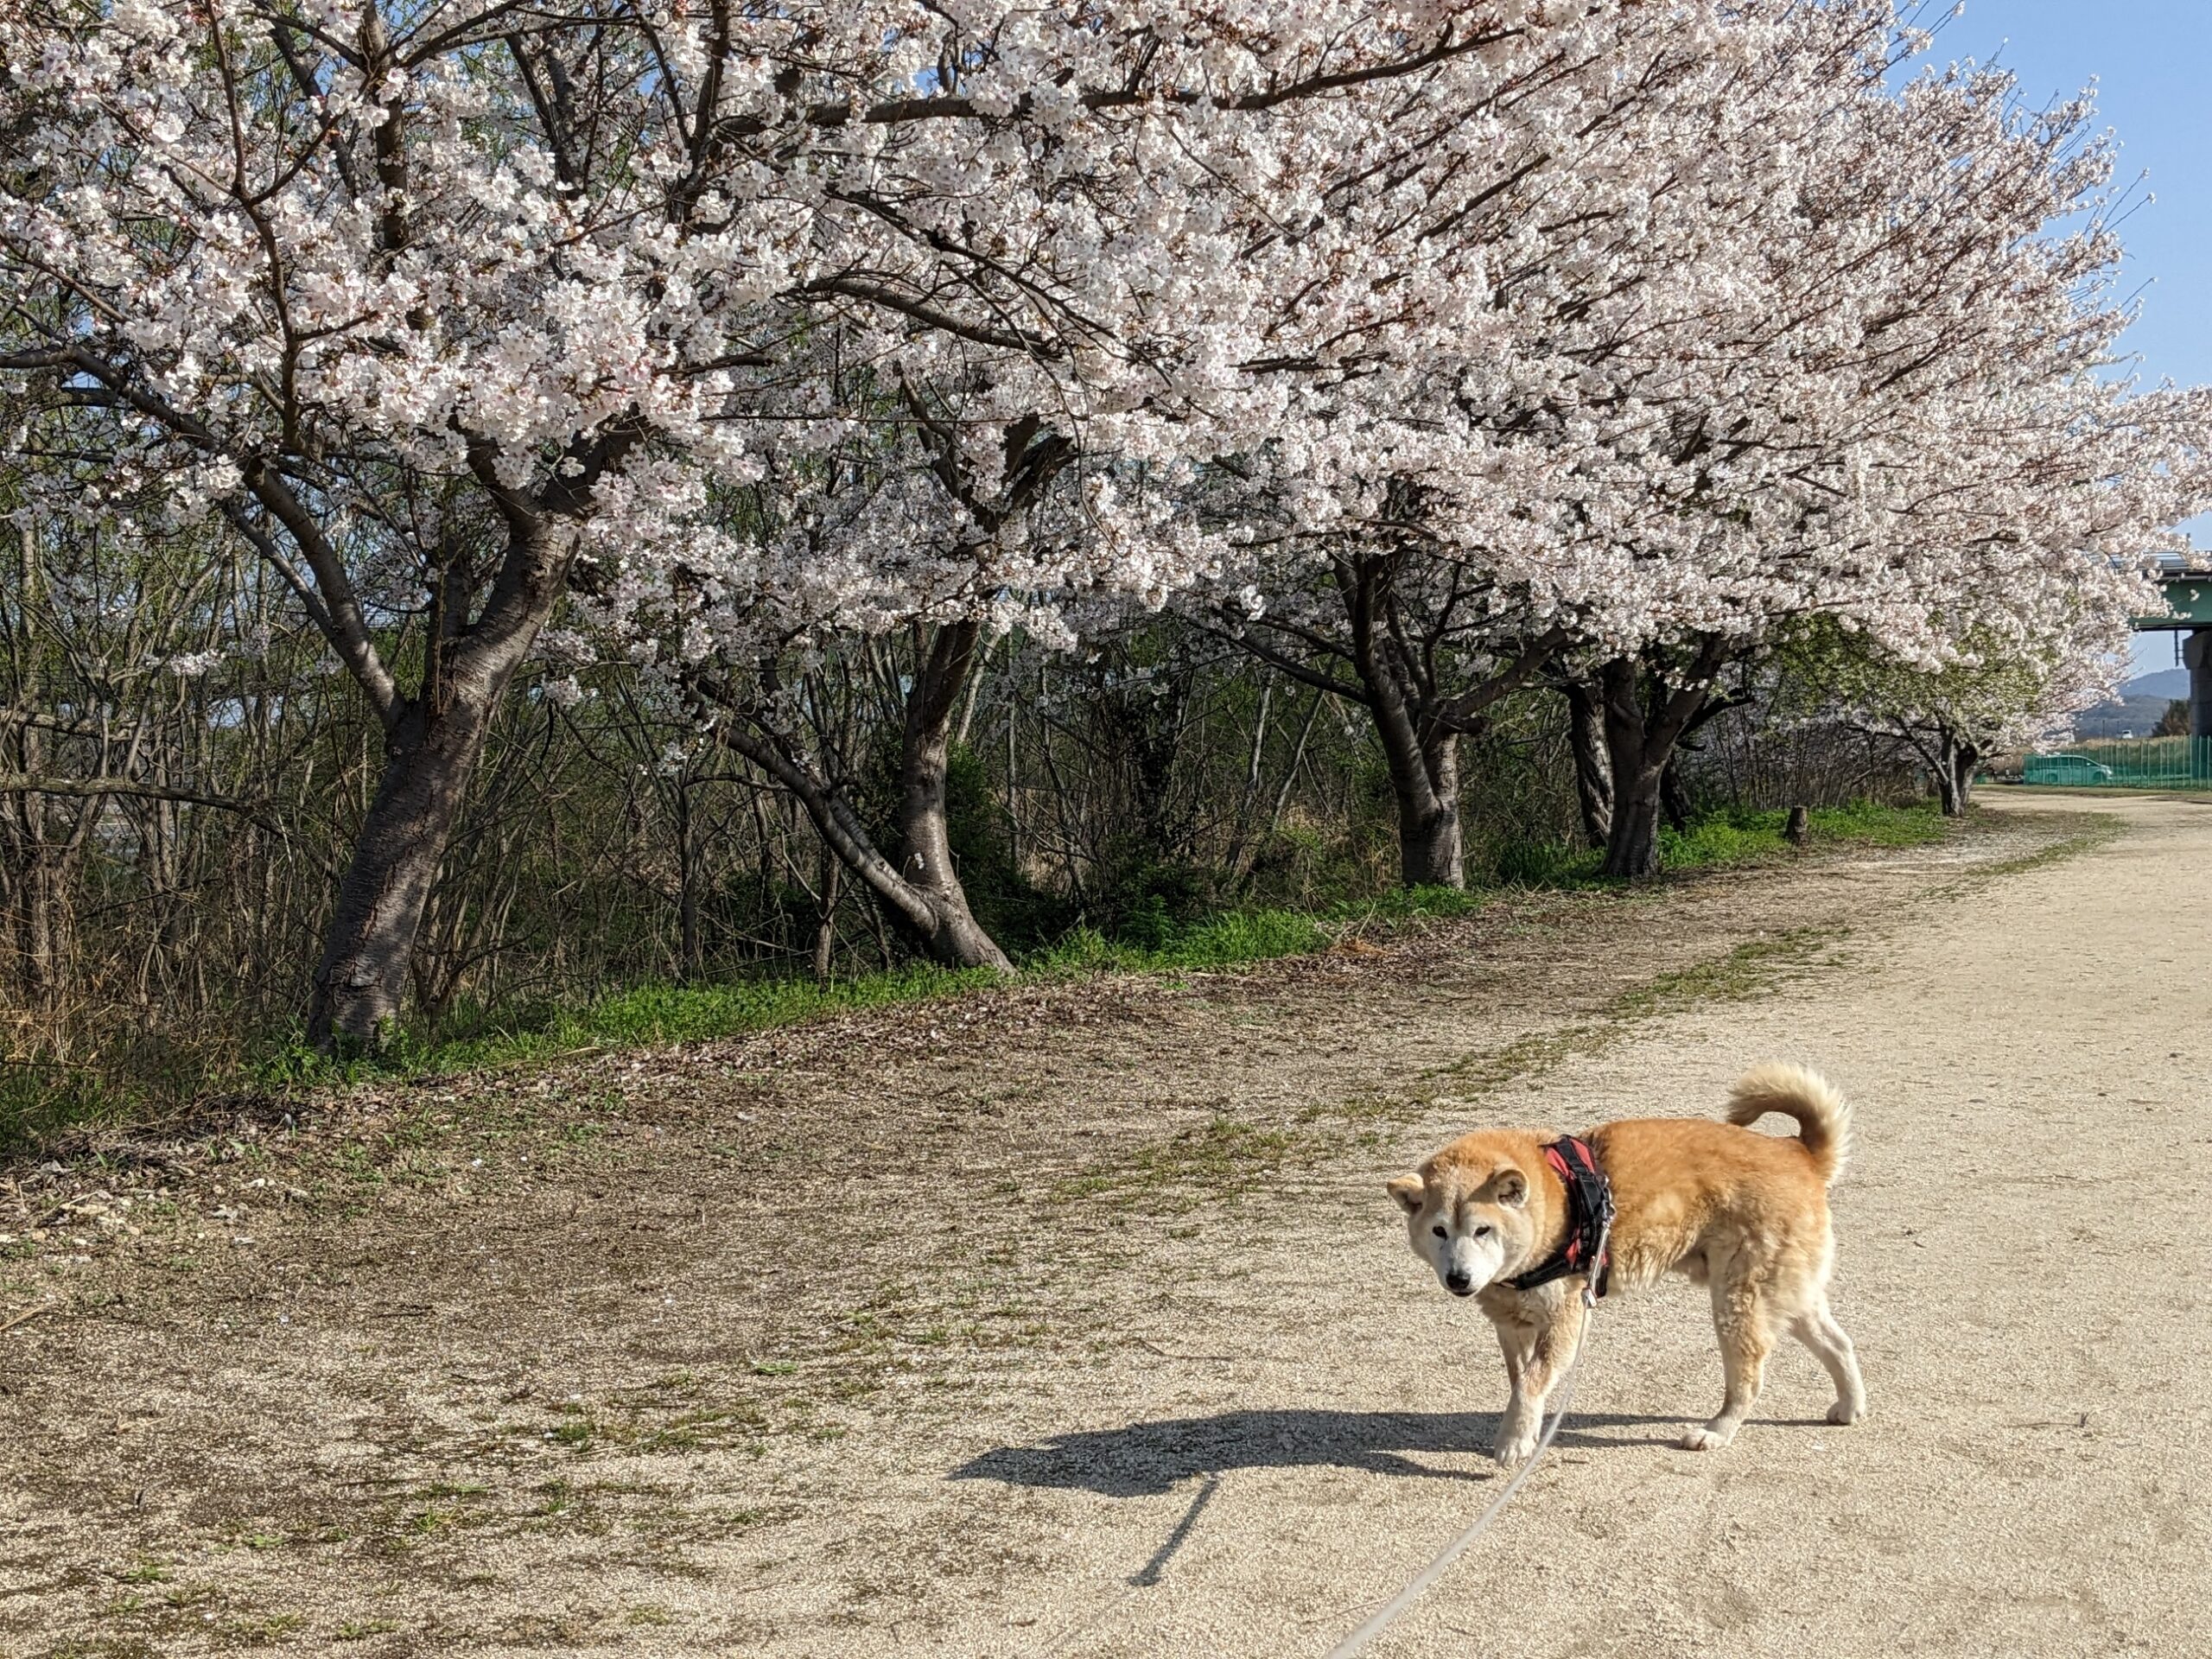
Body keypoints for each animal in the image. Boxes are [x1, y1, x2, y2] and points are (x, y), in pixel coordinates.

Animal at [1380, 1065, 1866, 1468]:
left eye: (1482, 1230)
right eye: (1439, 1231)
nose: (1458, 1278)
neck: (1555, 1201)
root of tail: (1799, 1153)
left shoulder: (1566, 1319)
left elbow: (1533, 1381)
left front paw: (1514, 1442)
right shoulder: (1512, 1324)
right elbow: (1521, 1382)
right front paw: (1526, 1430)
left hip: (1739, 1302)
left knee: (1749, 1380)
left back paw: (1717, 1430)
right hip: (1784, 1293)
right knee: (1839, 1343)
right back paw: (1850, 1406)